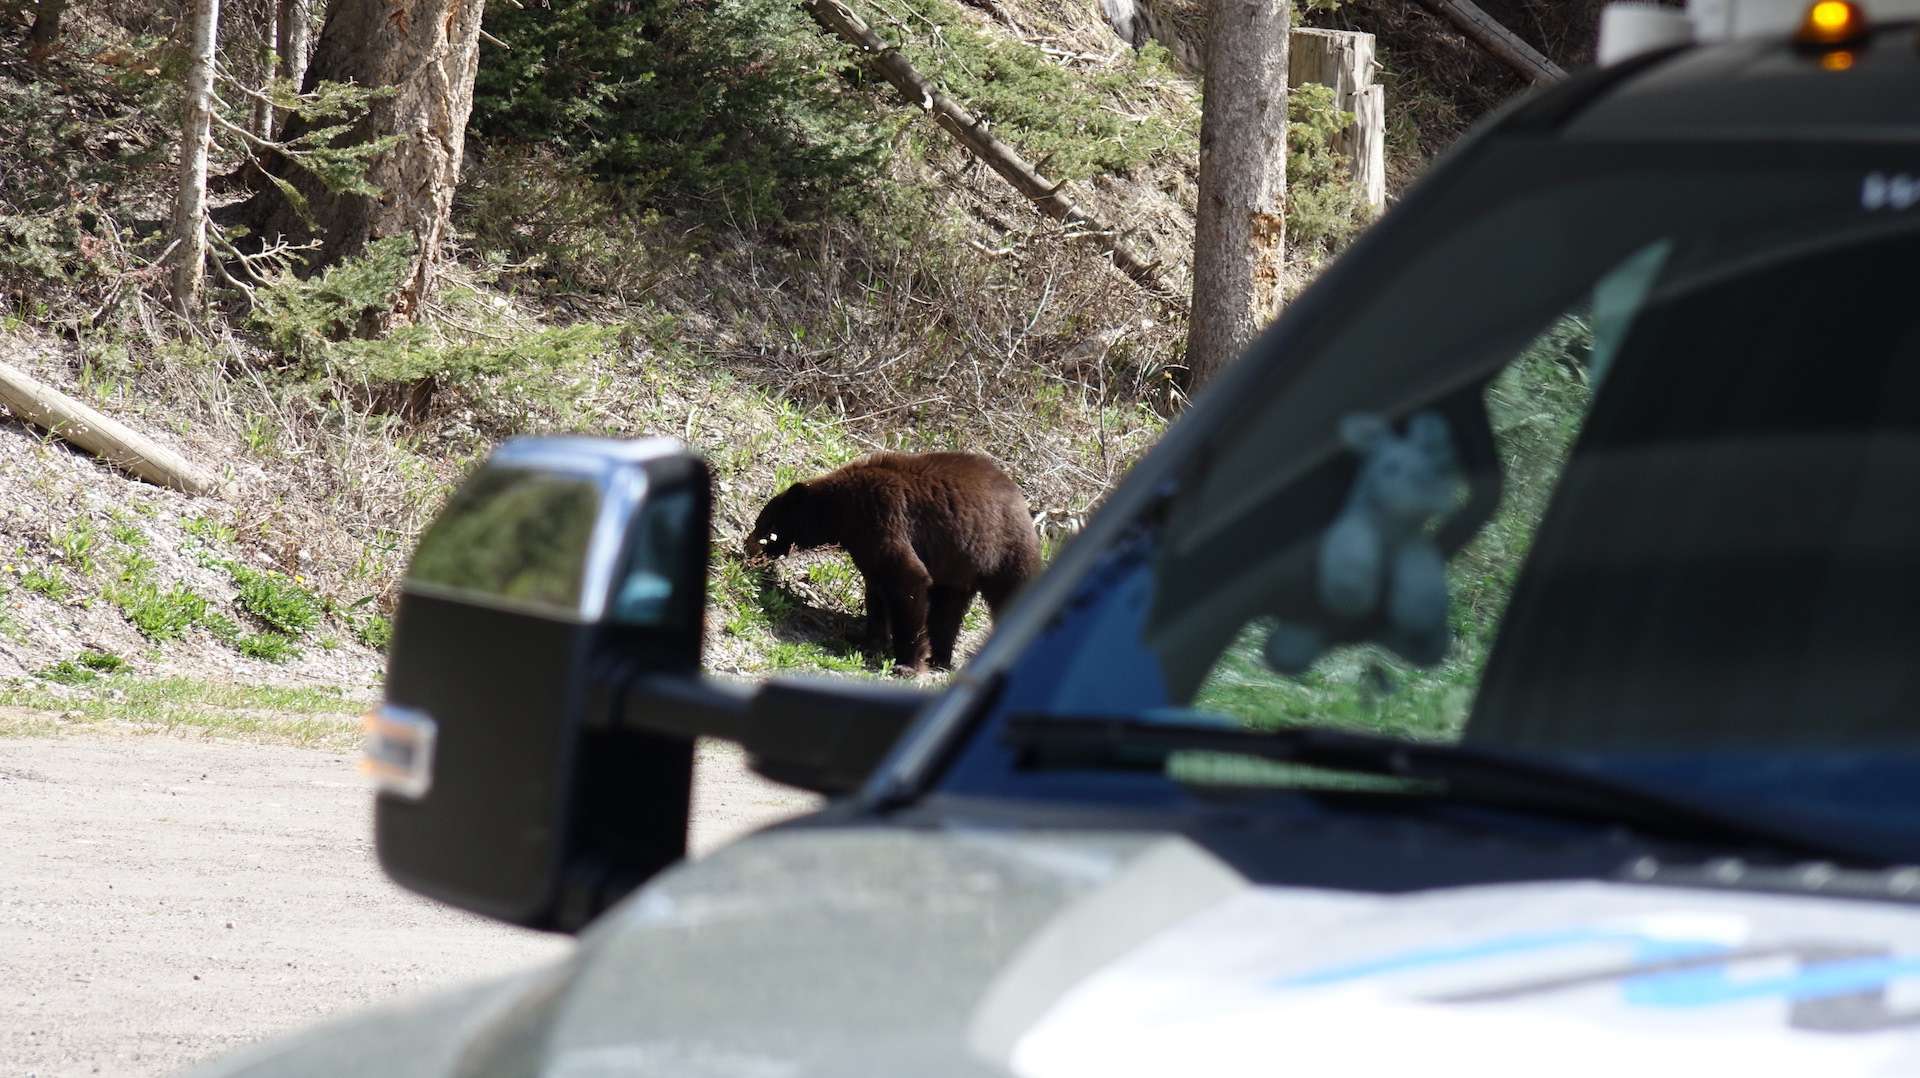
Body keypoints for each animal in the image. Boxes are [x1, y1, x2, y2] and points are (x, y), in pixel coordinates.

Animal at [743, 451, 1043, 675]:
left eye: (763, 524)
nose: (747, 548)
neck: (840, 512)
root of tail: (1024, 503)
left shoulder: (882, 513)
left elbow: (907, 578)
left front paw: (906, 664)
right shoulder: (866, 542)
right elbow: (877, 590)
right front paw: (868, 639)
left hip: (1005, 550)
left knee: (1011, 595)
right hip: (958, 566)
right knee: (948, 610)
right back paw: (940, 658)